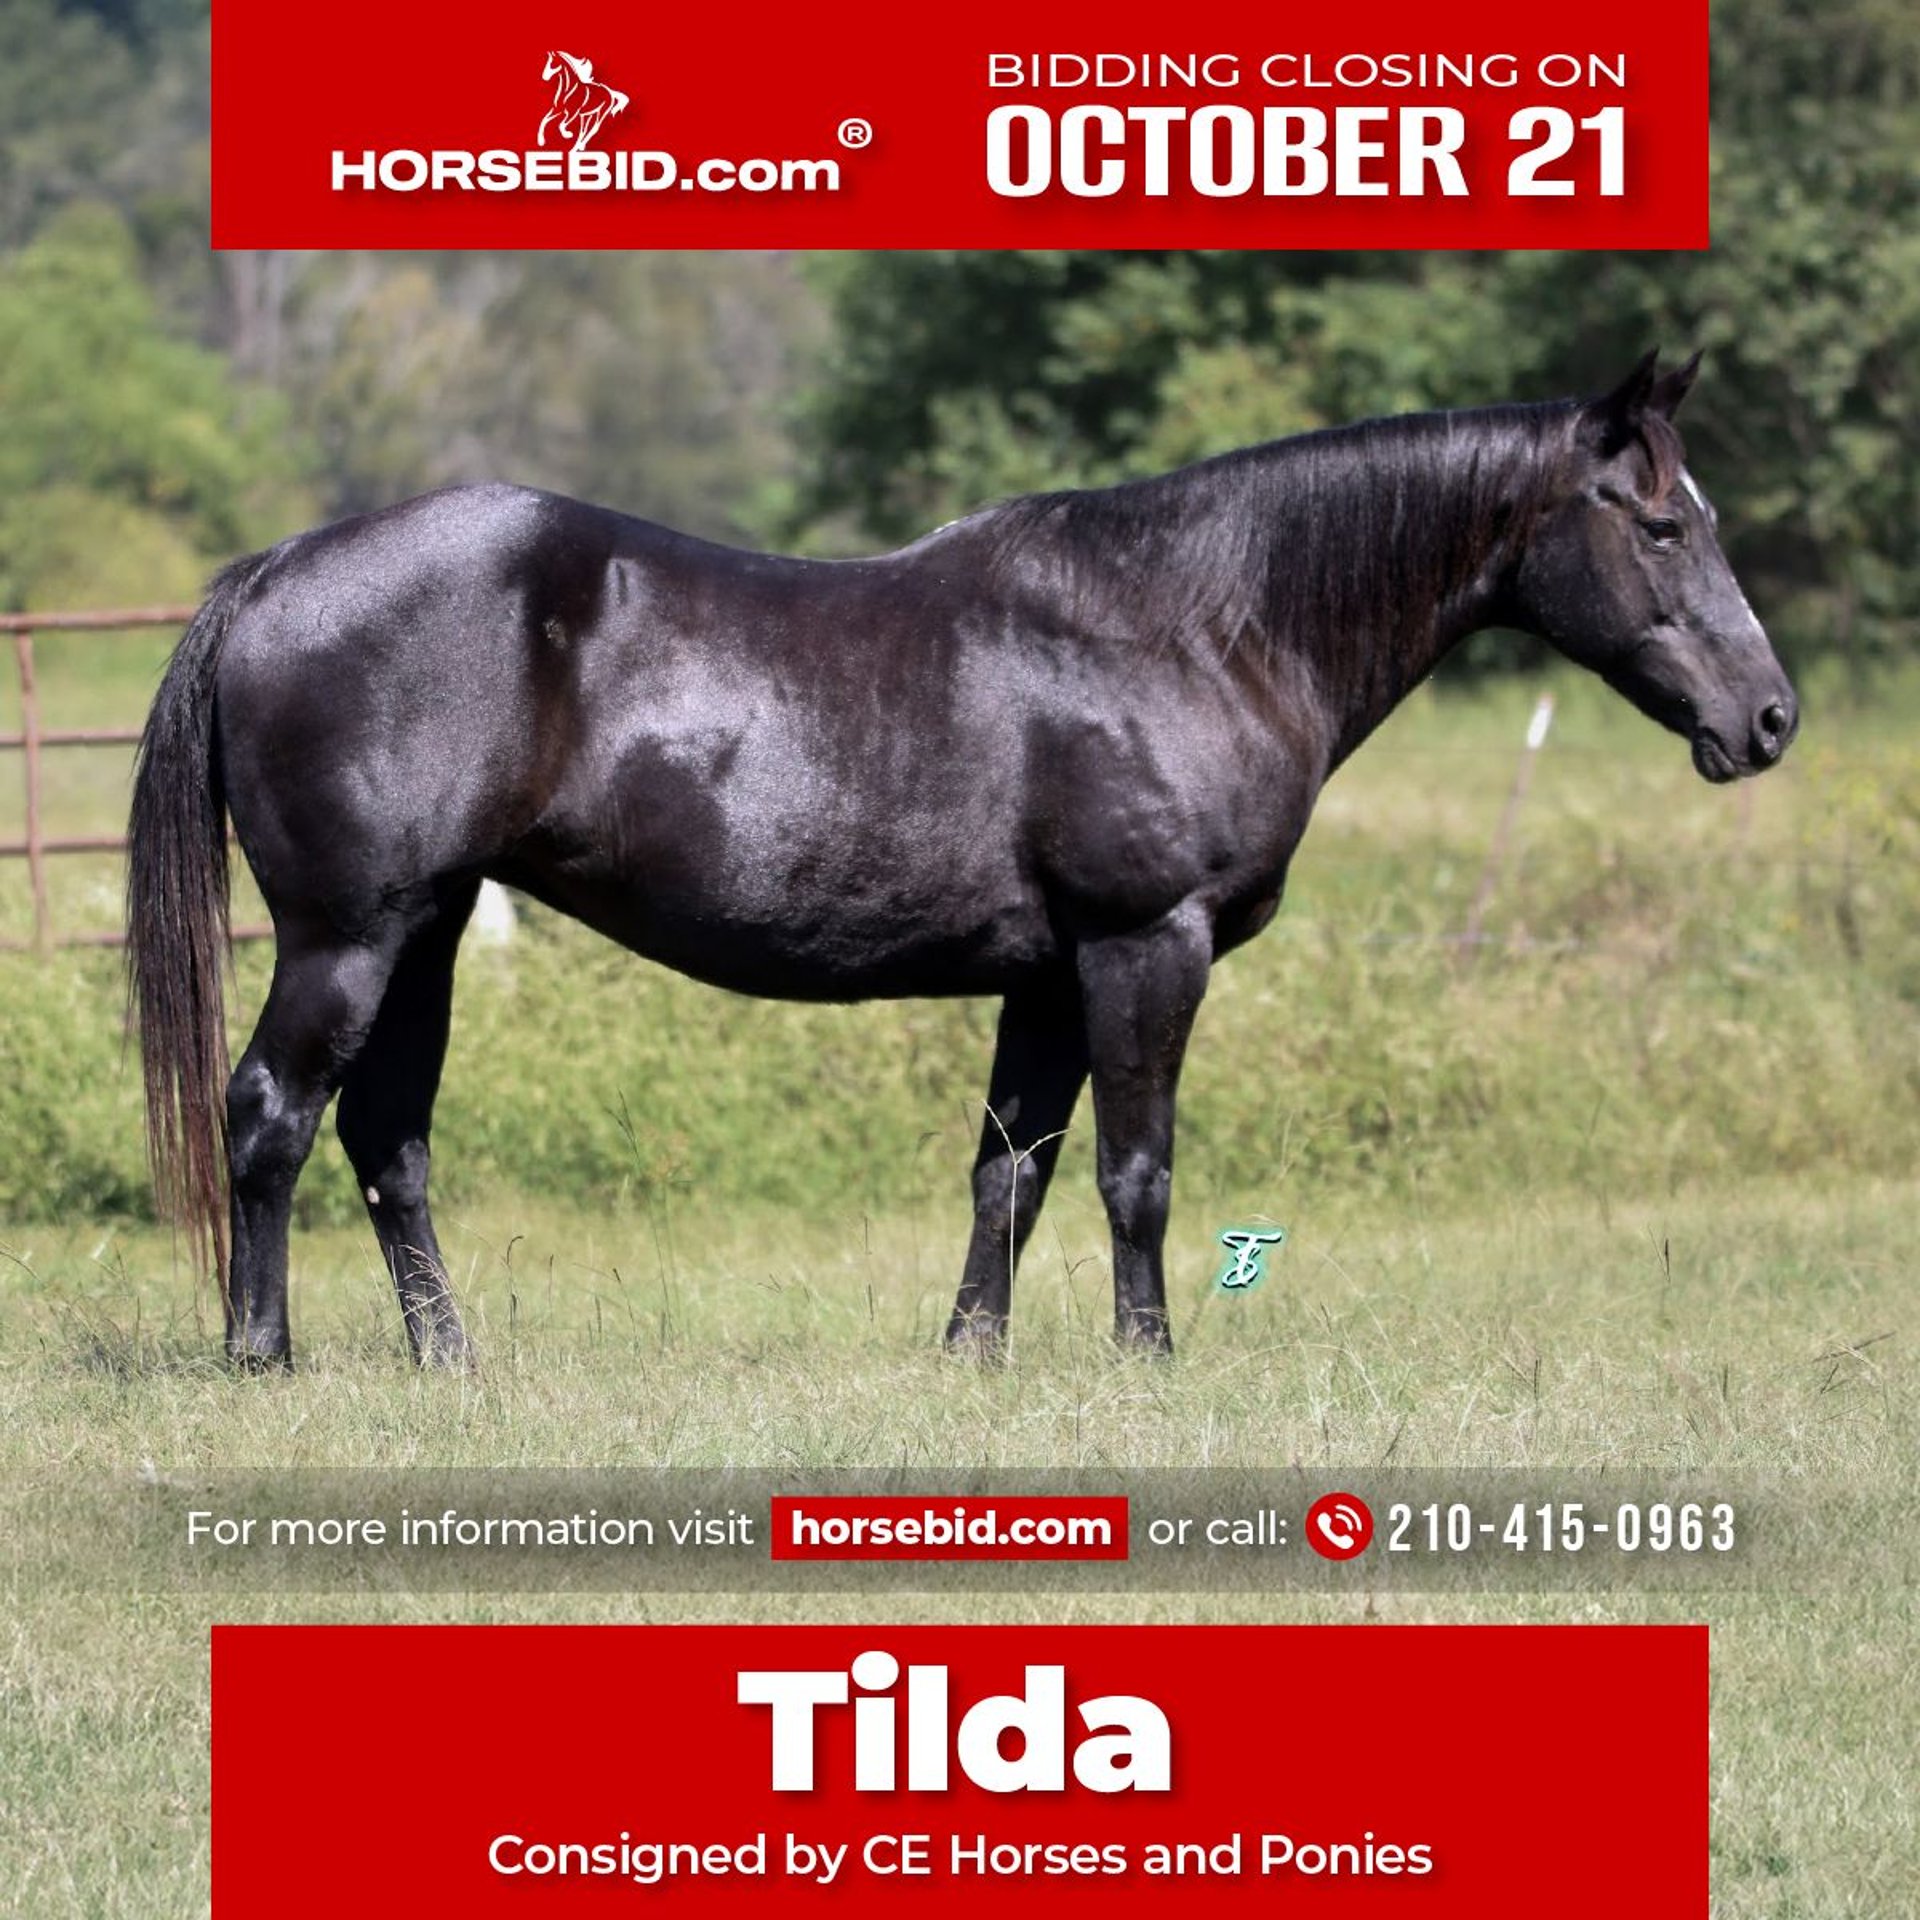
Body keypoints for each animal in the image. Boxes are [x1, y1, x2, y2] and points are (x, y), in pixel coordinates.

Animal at [127, 352, 1798, 1371]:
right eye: (1658, 525)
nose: (1769, 719)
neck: (1194, 624)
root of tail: (274, 571)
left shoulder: (1050, 979)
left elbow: (1014, 1171)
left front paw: (972, 1356)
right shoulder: (1143, 946)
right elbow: (1135, 1172)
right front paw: (1148, 1357)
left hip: (427, 928)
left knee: (387, 1137)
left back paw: (453, 1360)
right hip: (347, 934)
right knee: (270, 1116)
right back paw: (261, 1356)